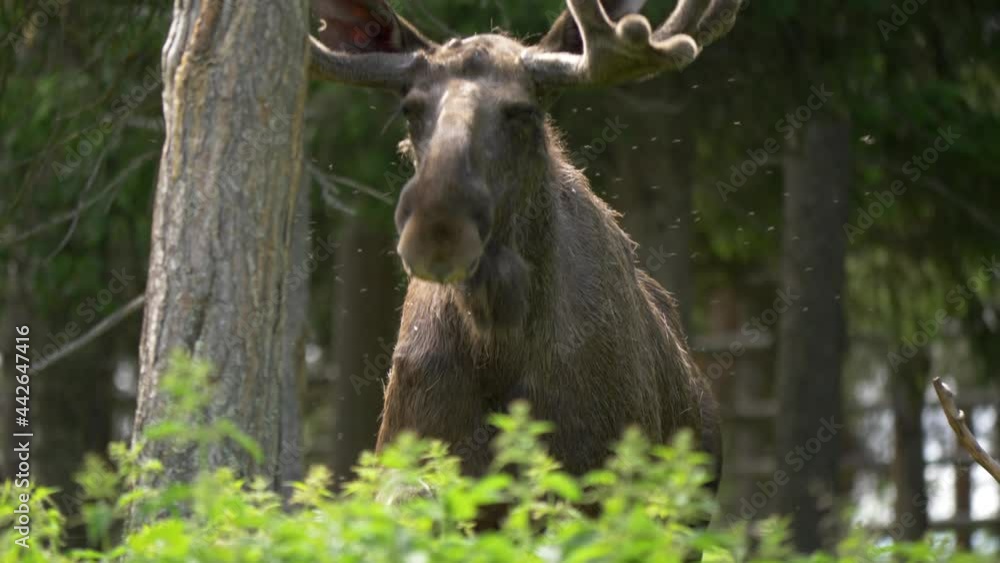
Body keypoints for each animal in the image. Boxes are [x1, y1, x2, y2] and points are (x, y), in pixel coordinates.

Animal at [311, 0, 740, 534]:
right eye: (410, 109)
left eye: (523, 111)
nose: (437, 224)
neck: (500, 353)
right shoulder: (410, 456)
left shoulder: (597, 486)